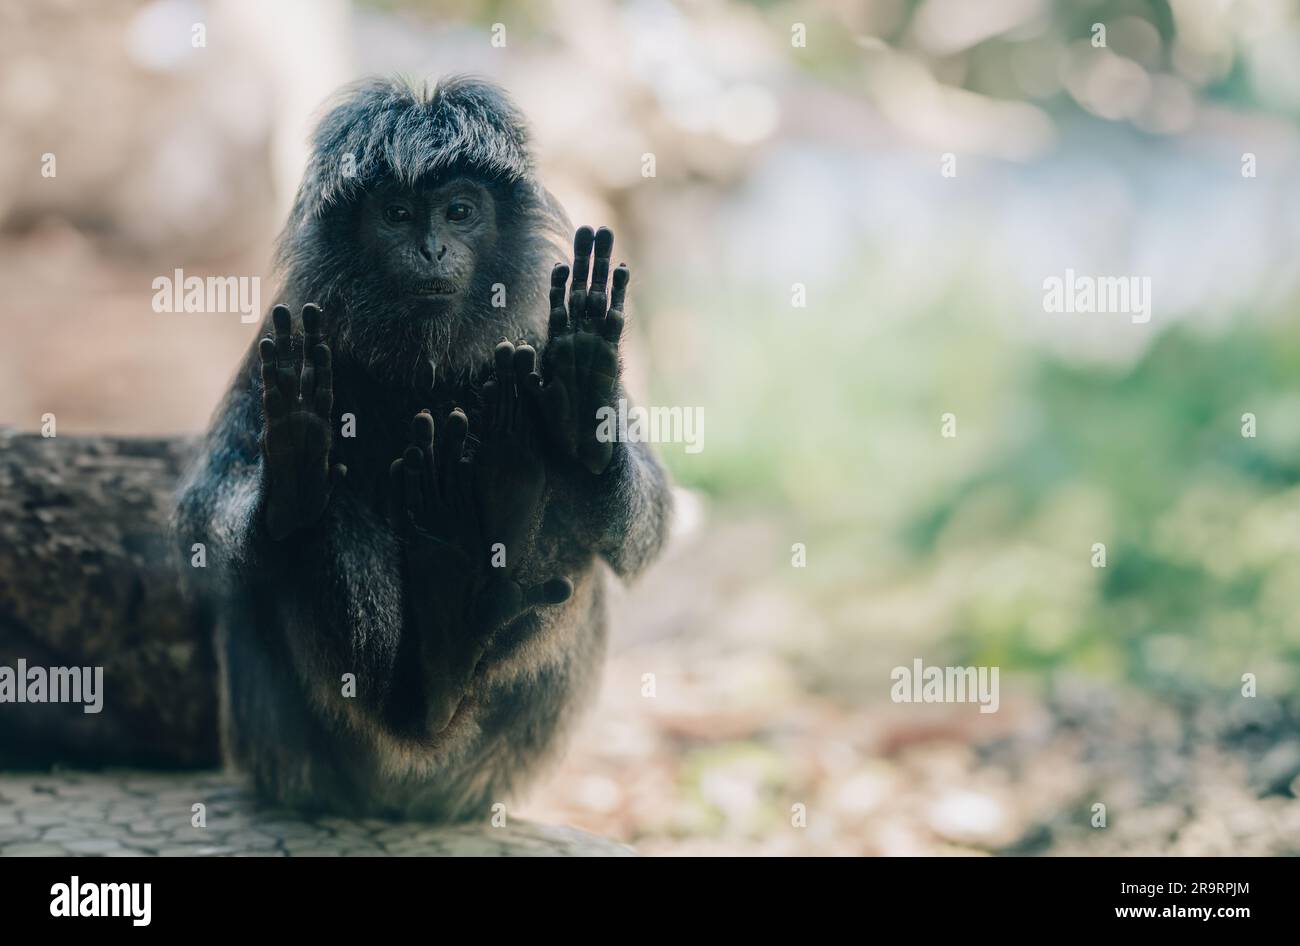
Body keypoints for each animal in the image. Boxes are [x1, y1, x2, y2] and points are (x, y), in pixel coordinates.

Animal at [174, 76, 672, 820]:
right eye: (399, 213)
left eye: (459, 211)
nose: (433, 250)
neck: (429, 364)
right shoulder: (283, 331)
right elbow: (201, 524)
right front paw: (291, 470)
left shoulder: (531, 329)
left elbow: (647, 528)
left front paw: (585, 400)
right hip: (293, 759)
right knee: (316, 532)